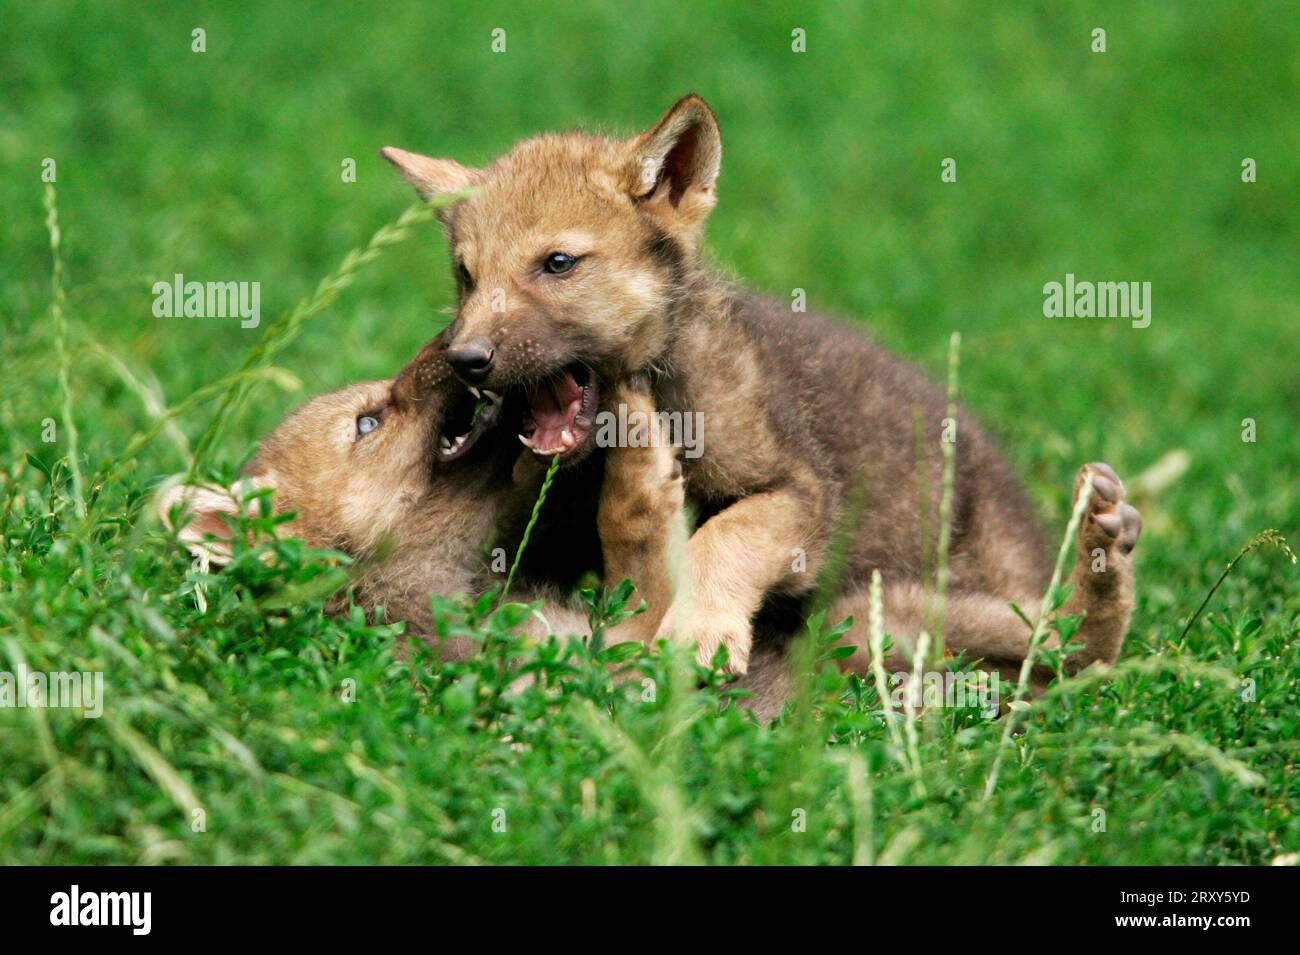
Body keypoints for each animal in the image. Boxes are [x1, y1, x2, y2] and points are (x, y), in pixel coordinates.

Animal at [379, 95, 1143, 678]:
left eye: (558, 263)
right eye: (465, 275)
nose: (465, 358)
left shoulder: (802, 491)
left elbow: (724, 535)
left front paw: (700, 629)